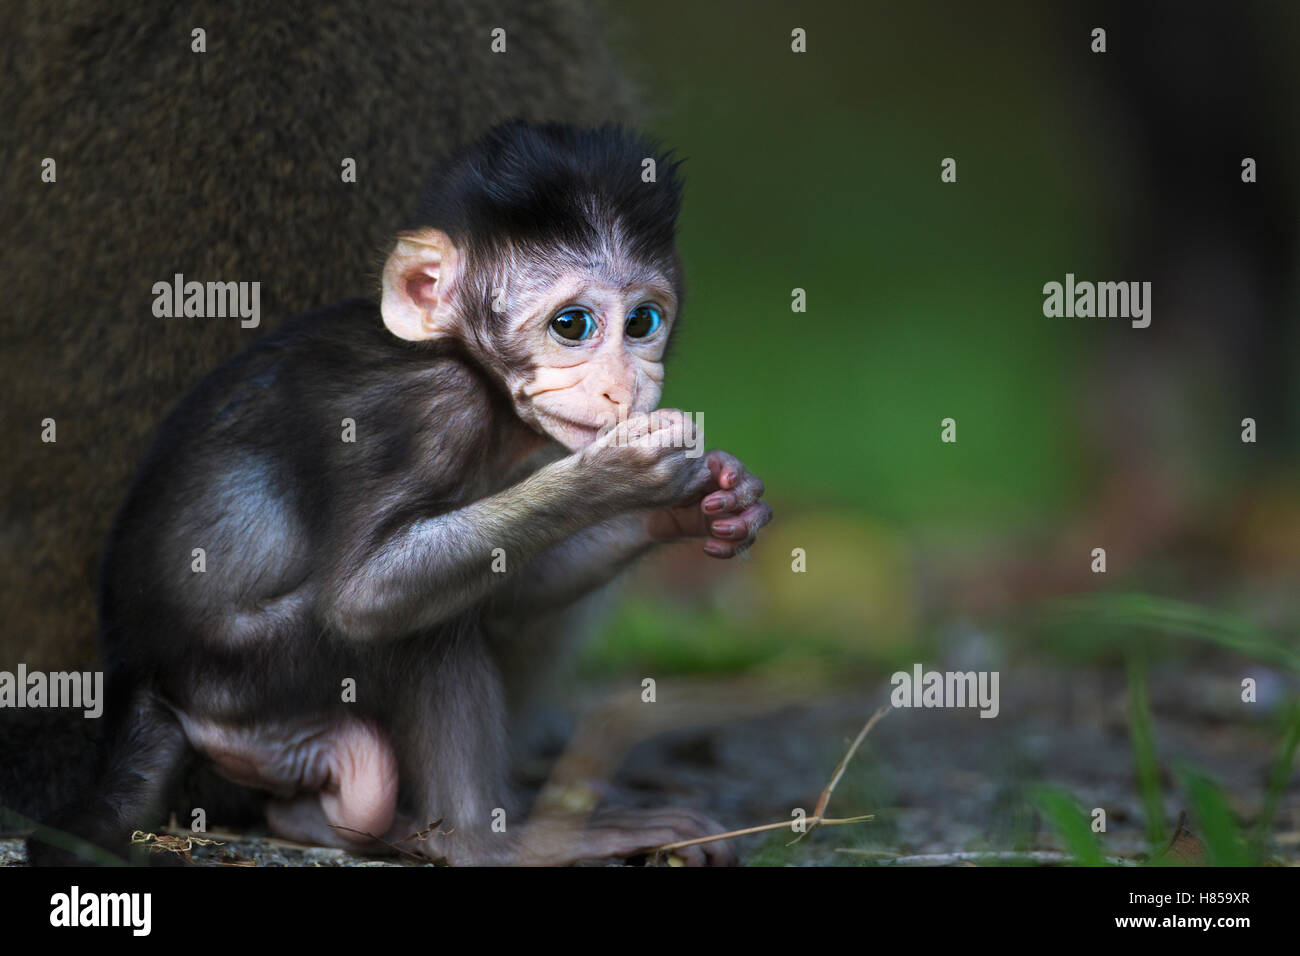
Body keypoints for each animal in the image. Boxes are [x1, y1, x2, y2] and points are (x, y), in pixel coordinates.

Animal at [27, 121, 773, 867]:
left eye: (643, 322)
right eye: (572, 326)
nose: (624, 386)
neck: (463, 362)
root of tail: (142, 677)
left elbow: (506, 593)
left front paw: (706, 505)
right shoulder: (428, 413)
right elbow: (365, 598)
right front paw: (624, 473)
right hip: (244, 673)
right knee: (420, 633)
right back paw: (490, 842)